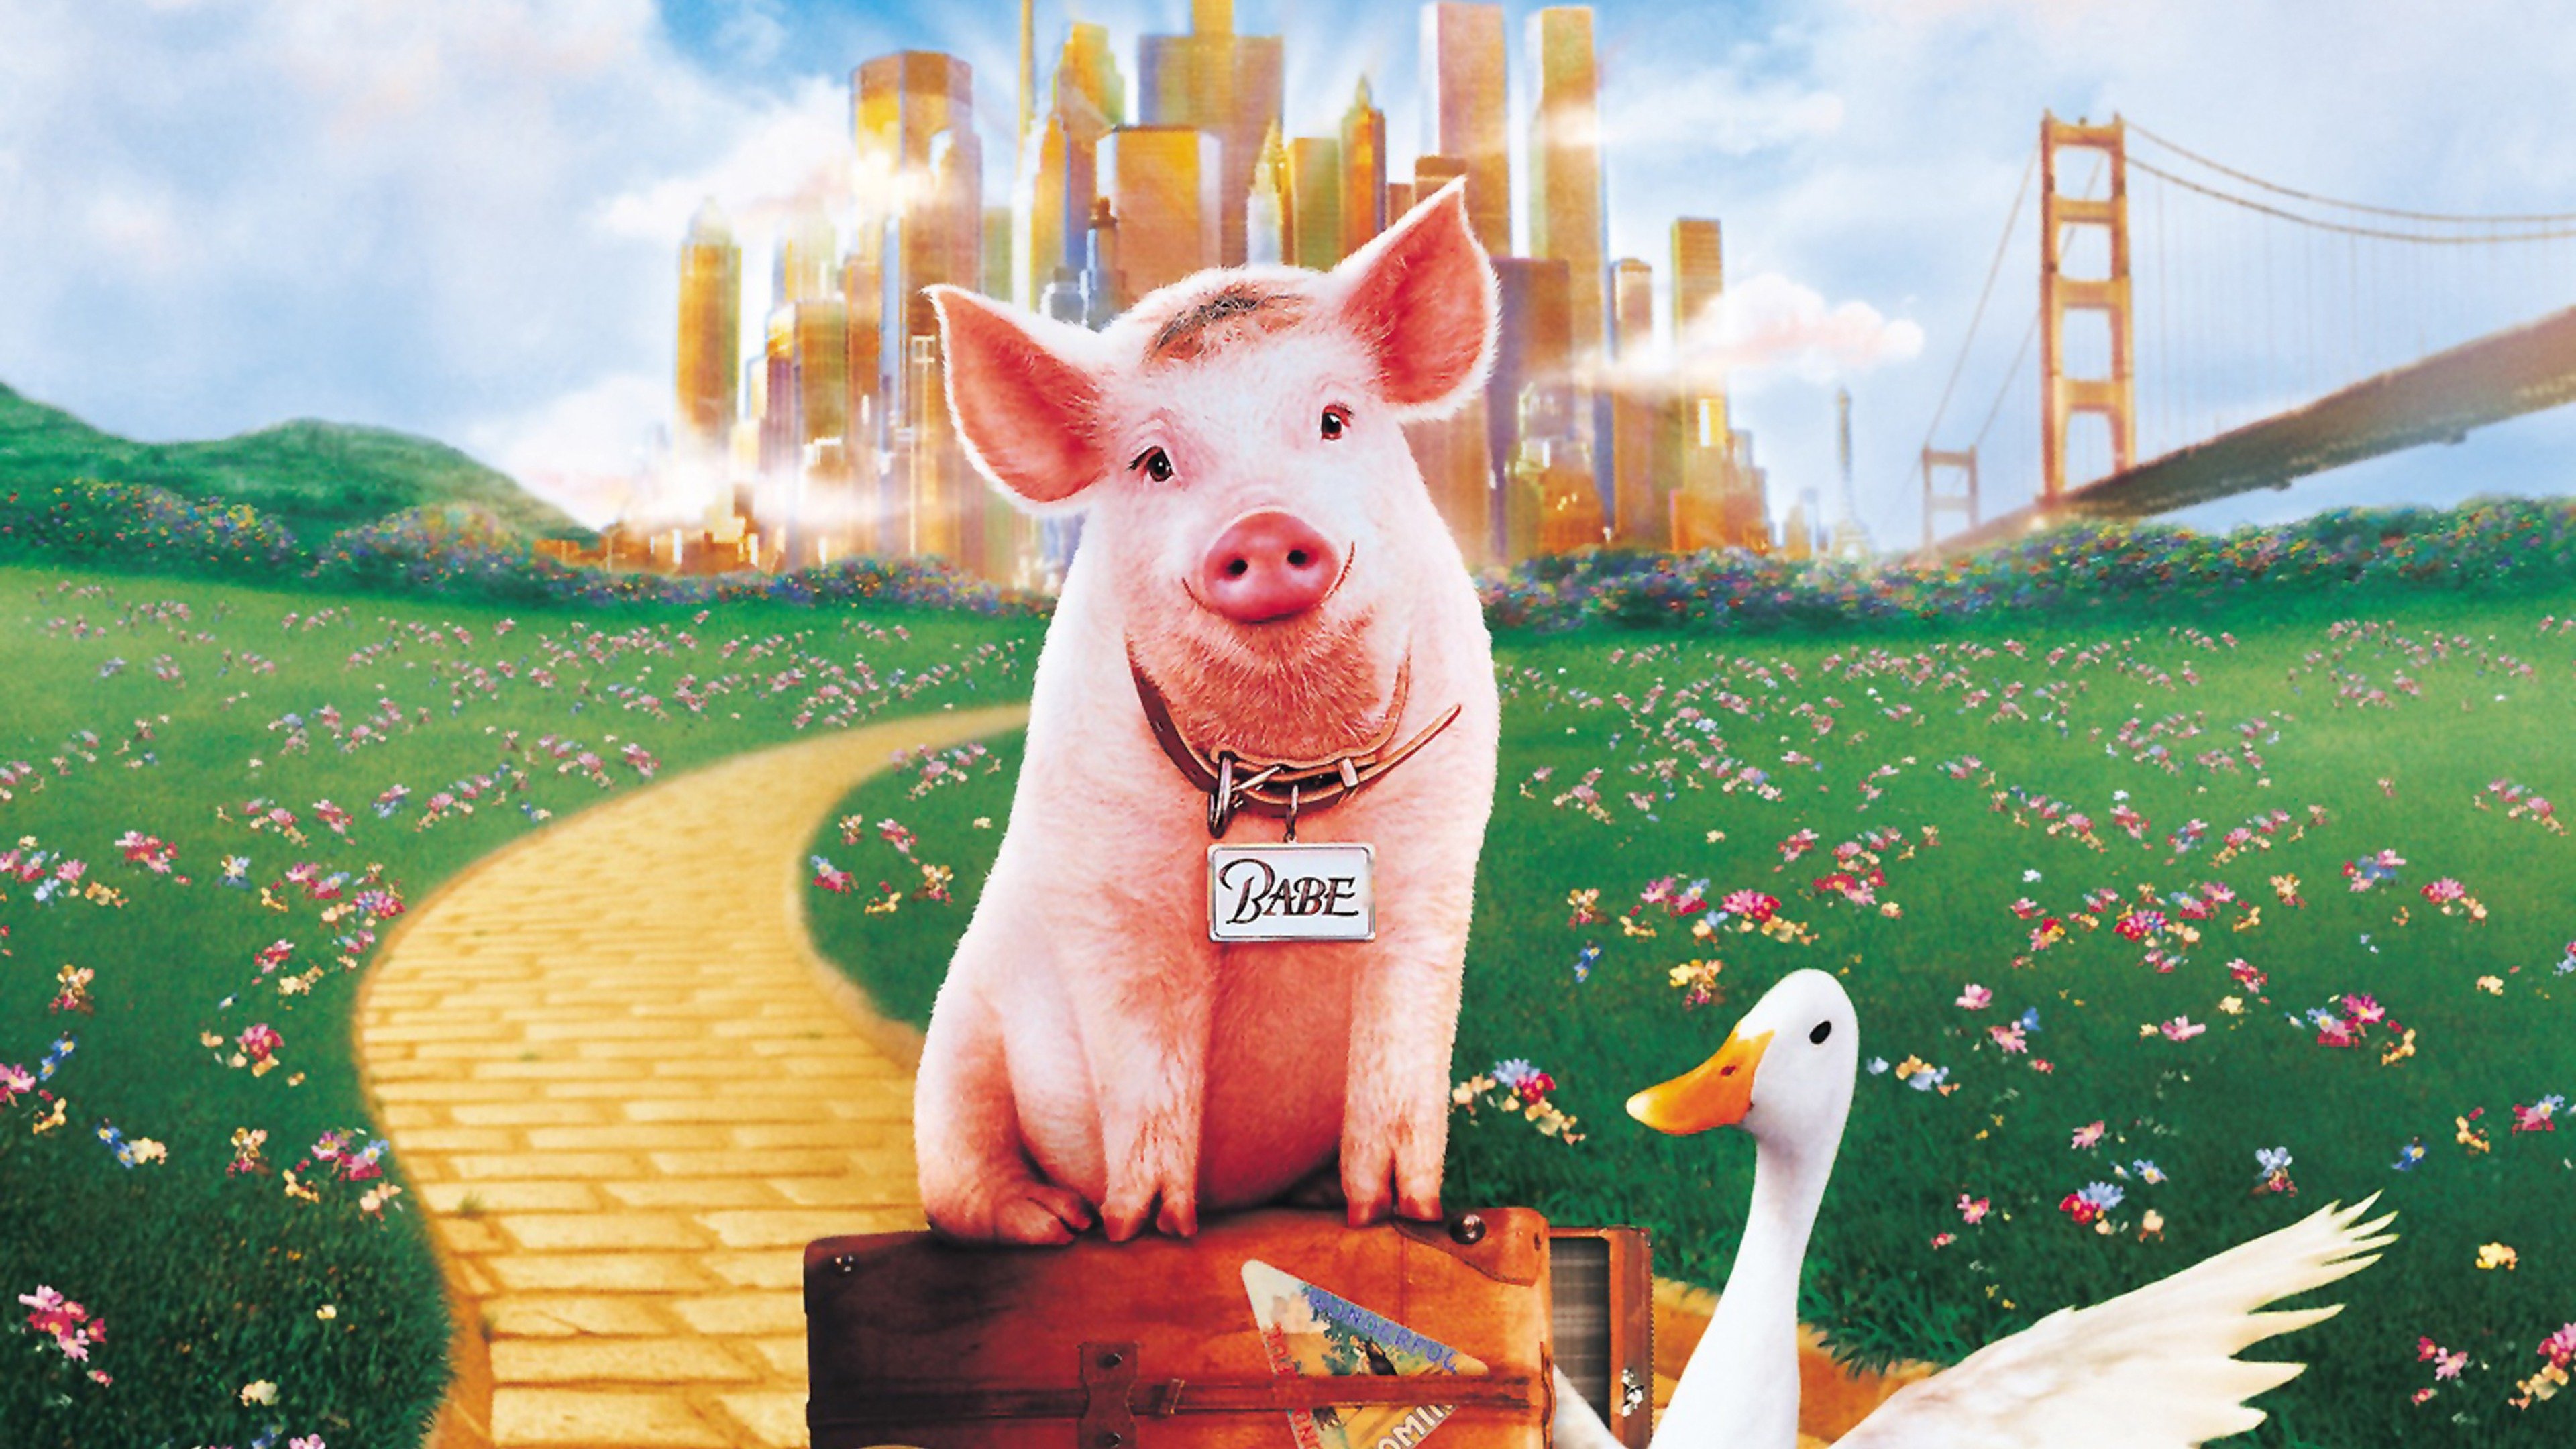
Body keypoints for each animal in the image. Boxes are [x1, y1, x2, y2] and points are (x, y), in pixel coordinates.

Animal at [911, 181, 1502, 1245]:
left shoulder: (1439, 869)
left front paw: (1398, 1214)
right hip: (955, 1050)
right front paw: (1145, 1230)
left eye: (1335, 419)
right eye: (1153, 462)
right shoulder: (1112, 897)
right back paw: (1054, 1220)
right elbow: (1149, 1074)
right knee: (964, 1182)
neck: (1285, 768)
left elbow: (1401, 1069)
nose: (1263, 529)